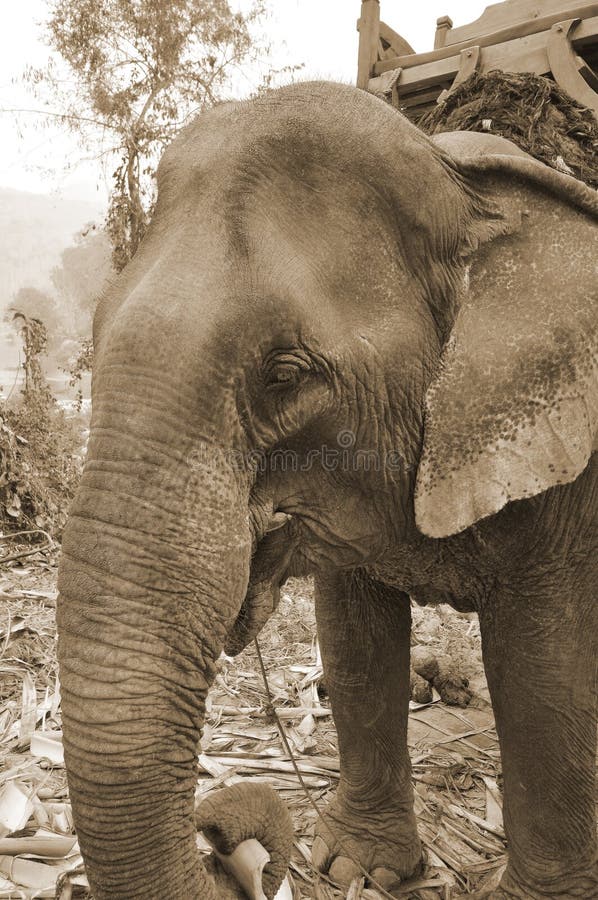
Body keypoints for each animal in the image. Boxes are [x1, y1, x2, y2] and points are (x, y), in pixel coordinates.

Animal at [56, 81, 597, 899]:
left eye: (284, 375)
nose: (220, 831)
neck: (461, 177)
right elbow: (354, 641)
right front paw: (359, 868)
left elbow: (547, 673)